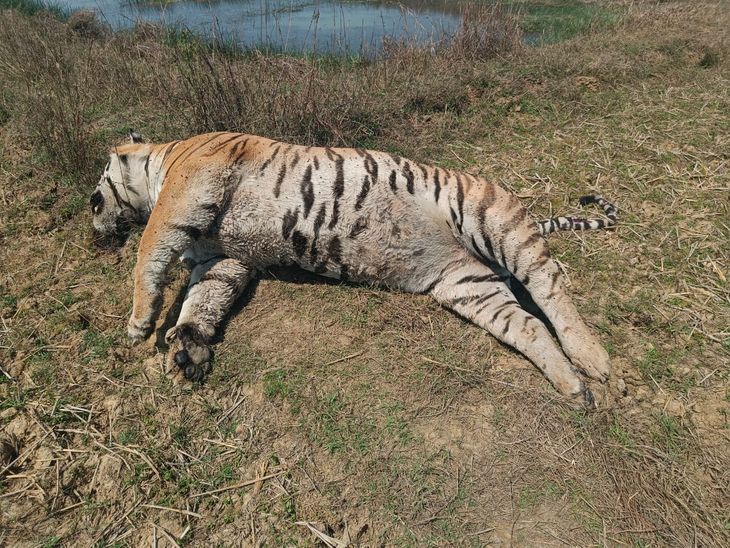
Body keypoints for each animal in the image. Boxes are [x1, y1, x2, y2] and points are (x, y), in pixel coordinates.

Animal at [90, 131, 618, 406]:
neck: (162, 159)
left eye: (96, 196)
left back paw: (592, 359)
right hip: (470, 285)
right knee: (527, 326)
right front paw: (188, 347)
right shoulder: (226, 258)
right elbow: (205, 300)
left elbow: (148, 252)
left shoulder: (187, 190)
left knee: (550, 286)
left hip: (491, 217)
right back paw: (573, 386)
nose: (93, 227)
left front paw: (139, 323)